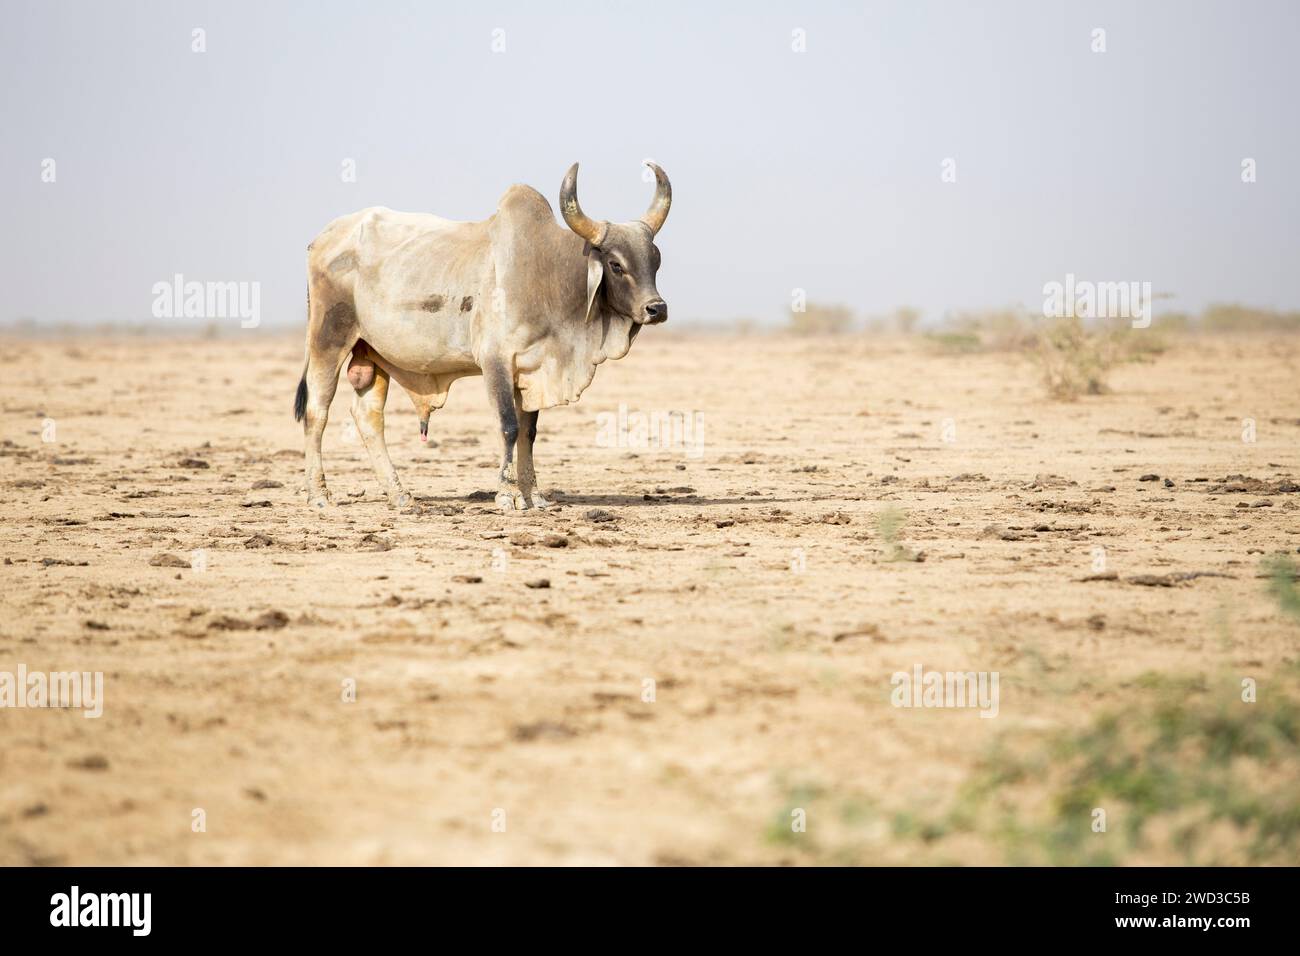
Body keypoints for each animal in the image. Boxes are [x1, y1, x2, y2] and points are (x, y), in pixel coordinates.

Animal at [293, 162, 672, 512]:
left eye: (655, 260)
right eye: (616, 264)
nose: (657, 308)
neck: (548, 276)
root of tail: (322, 239)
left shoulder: (530, 370)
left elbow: (529, 432)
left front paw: (534, 495)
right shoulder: (495, 362)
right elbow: (509, 427)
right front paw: (506, 495)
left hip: (372, 353)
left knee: (368, 416)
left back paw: (400, 495)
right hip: (328, 340)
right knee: (317, 410)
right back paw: (319, 495)